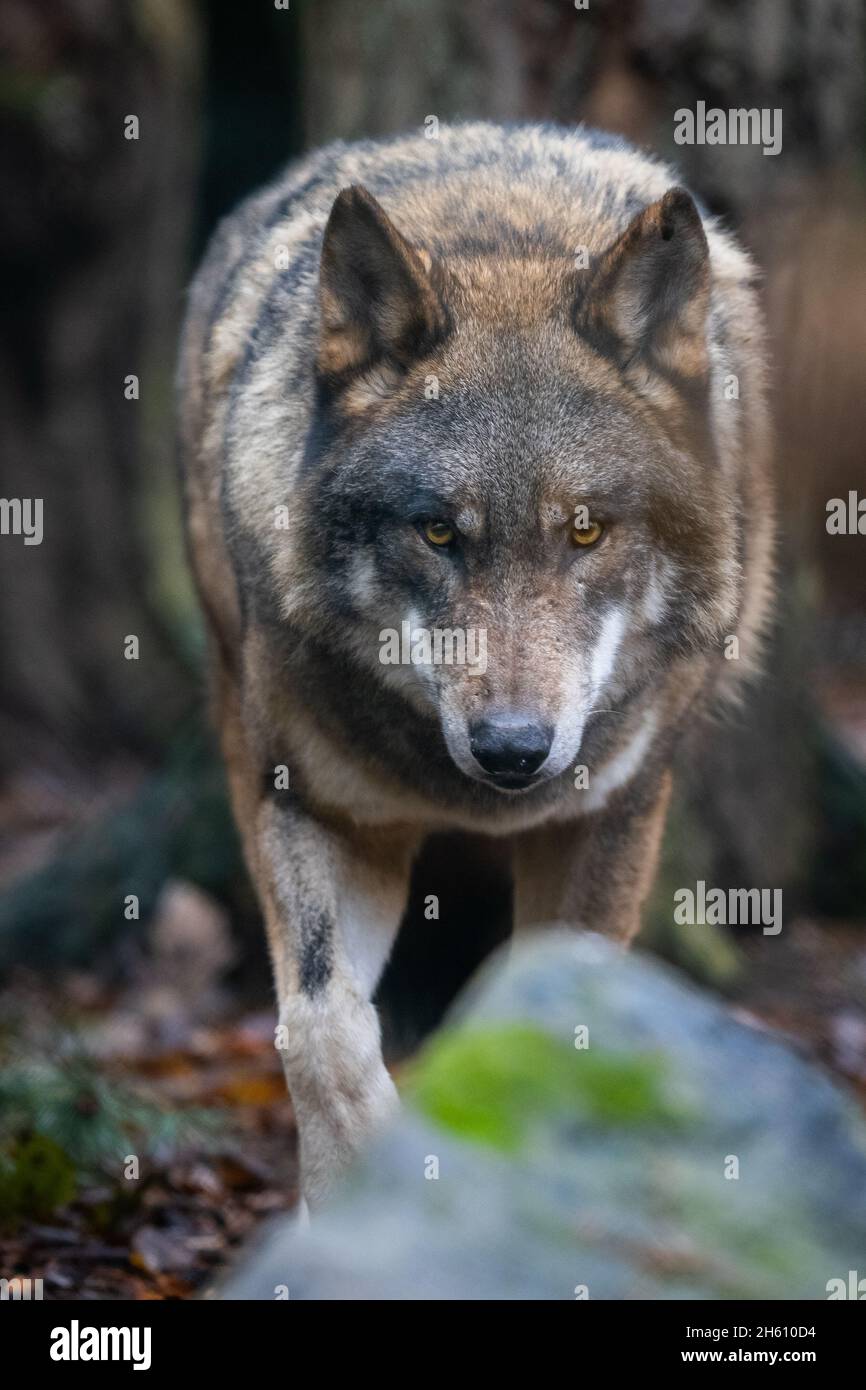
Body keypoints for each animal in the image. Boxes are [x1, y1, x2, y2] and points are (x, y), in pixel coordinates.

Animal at [178, 122, 773, 1206]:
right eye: (437, 532)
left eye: (586, 530)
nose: (511, 750)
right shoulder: (320, 808)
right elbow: (318, 1030)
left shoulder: (606, 814)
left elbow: (556, 1029)